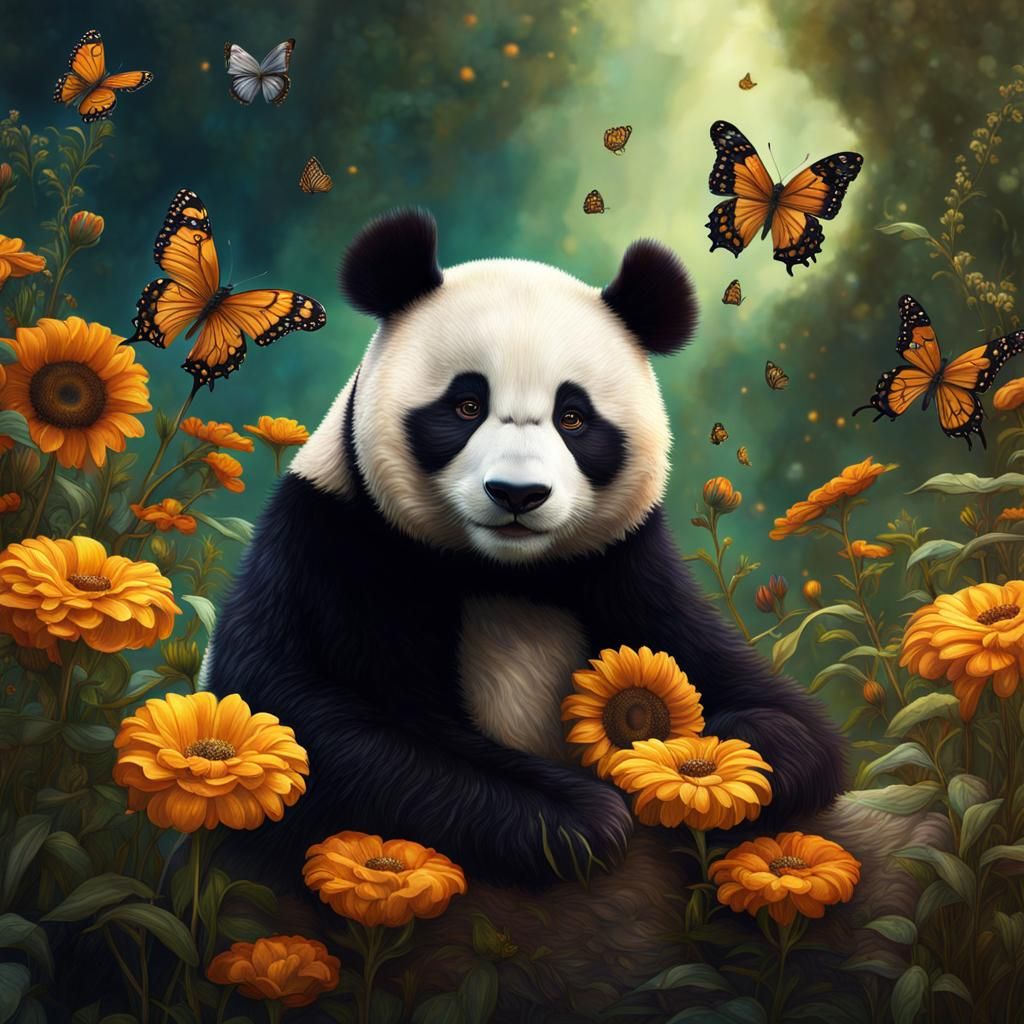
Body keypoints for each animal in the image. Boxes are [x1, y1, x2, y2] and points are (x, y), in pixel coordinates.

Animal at [204, 209, 946, 1017]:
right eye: (466, 405)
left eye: (573, 416)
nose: (517, 495)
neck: (498, 573)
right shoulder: (333, 548)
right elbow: (309, 723)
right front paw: (579, 821)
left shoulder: (628, 570)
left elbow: (783, 715)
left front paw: (717, 761)